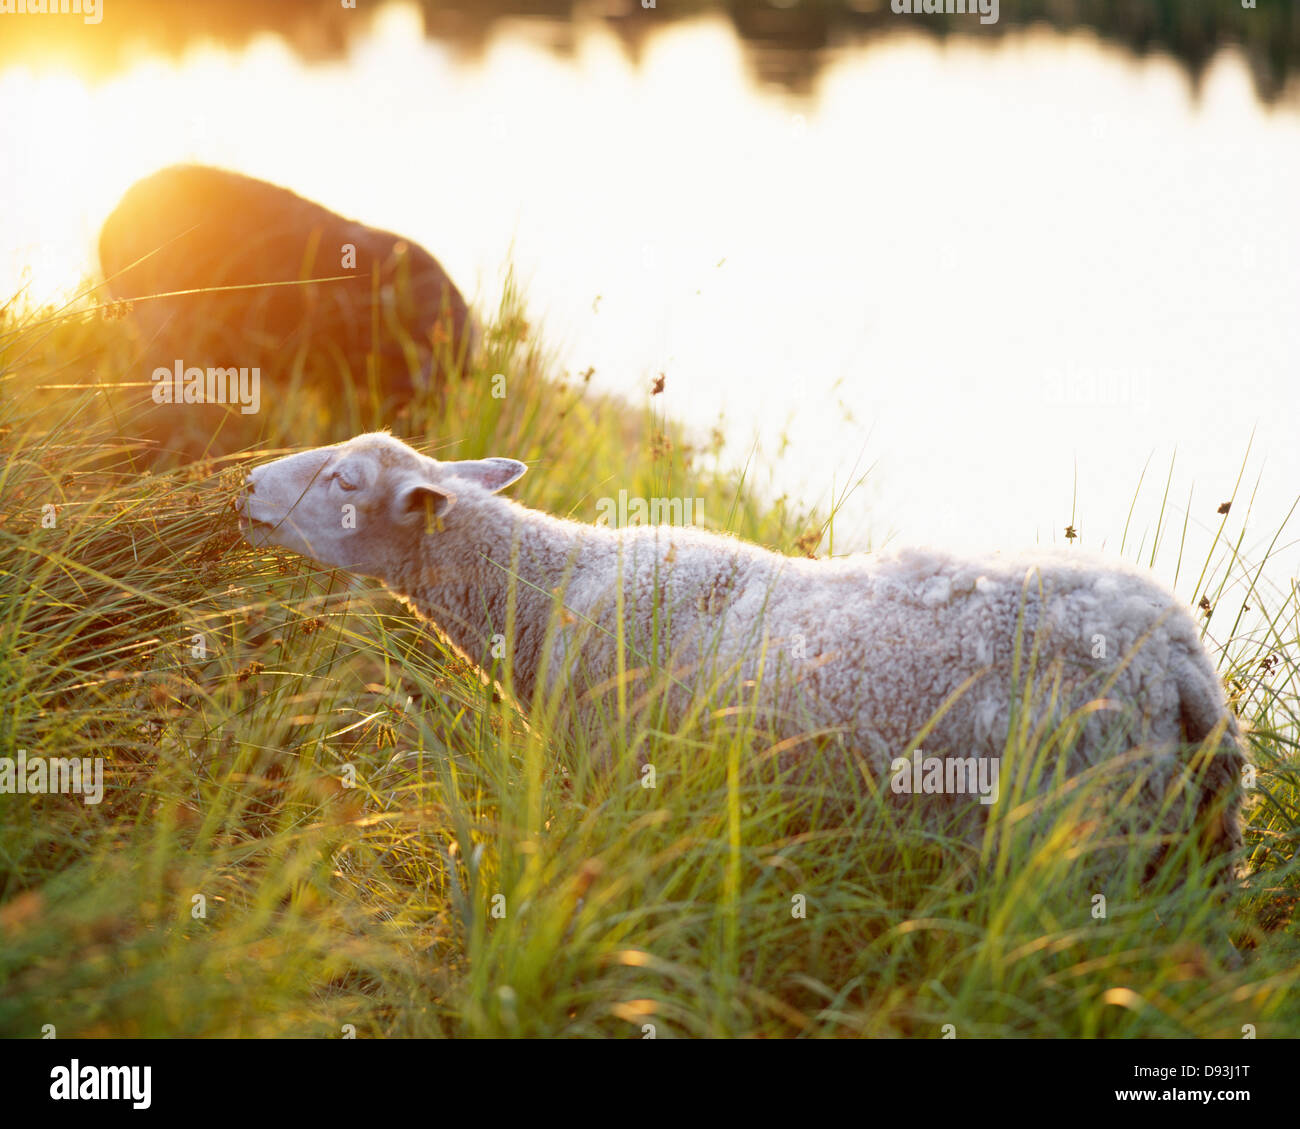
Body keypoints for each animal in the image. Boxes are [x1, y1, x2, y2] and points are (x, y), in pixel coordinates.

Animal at [238, 432, 1245, 884]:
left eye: (344, 481)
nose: (245, 486)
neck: (548, 591)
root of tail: (1183, 662)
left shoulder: (608, 771)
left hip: (1075, 836)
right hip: (1183, 841)